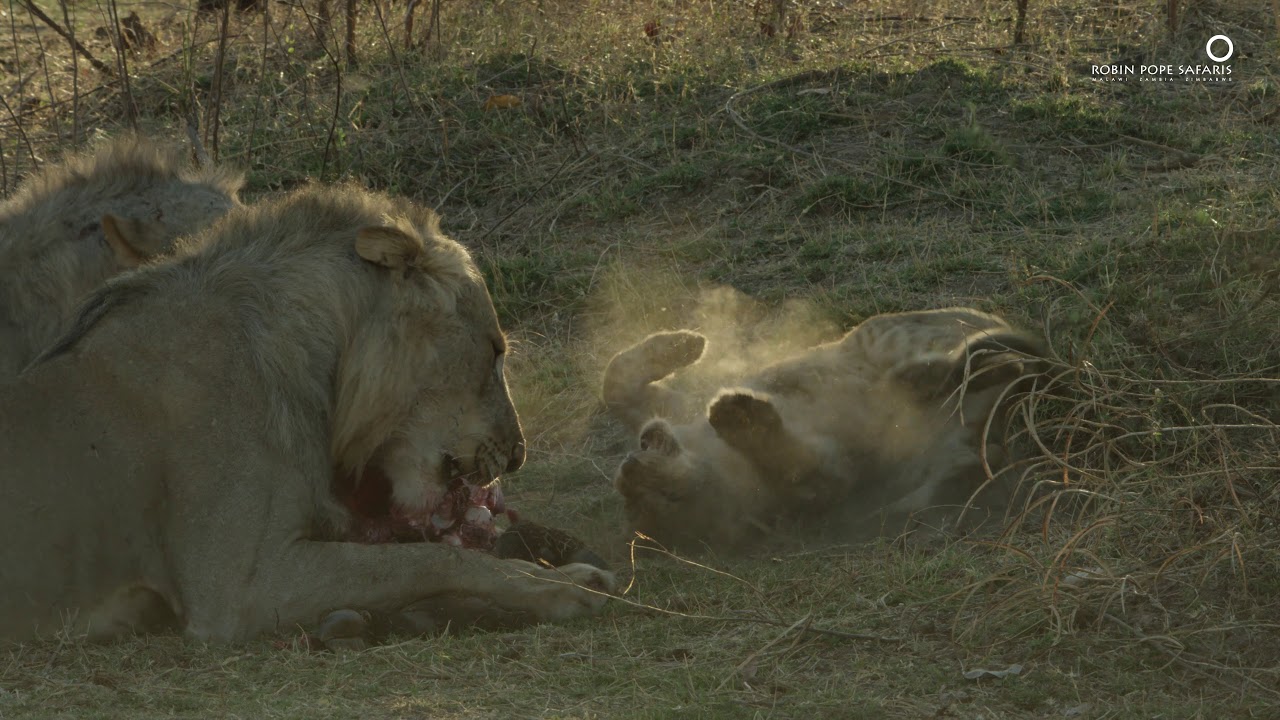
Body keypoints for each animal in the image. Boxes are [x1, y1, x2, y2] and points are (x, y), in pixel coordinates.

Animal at [0, 183, 615, 644]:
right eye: (494, 350)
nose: (517, 457)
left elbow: (419, 558)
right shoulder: (237, 590)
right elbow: (436, 562)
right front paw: (567, 589)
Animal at [605, 307, 1046, 552]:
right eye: (669, 498)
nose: (628, 465)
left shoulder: (676, 406)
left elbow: (615, 382)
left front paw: (686, 343)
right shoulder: (831, 476)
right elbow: (795, 465)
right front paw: (739, 414)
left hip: (880, 335)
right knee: (956, 376)